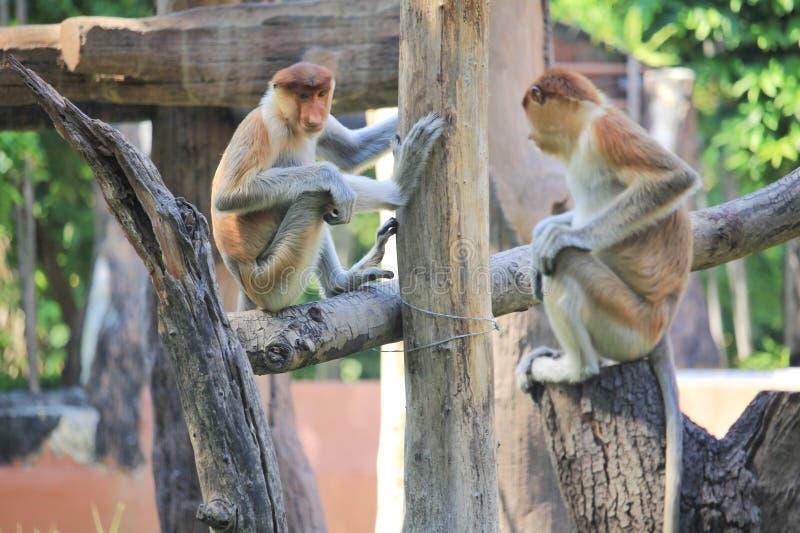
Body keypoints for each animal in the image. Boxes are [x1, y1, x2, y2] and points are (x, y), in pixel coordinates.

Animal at [211, 62, 444, 312]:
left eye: (321, 94)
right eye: (303, 96)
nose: (315, 115)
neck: (288, 119)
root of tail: (243, 278)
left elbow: (352, 152)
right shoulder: (266, 124)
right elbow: (229, 196)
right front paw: (331, 176)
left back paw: (343, 282)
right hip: (274, 279)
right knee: (316, 194)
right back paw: (397, 190)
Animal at [514, 68, 700, 533]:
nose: (530, 136)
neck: (585, 122)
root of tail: (663, 324)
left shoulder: (606, 134)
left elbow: (675, 178)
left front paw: (563, 236)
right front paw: (544, 231)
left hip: (628, 321)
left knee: (565, 268)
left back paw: (571, 368)